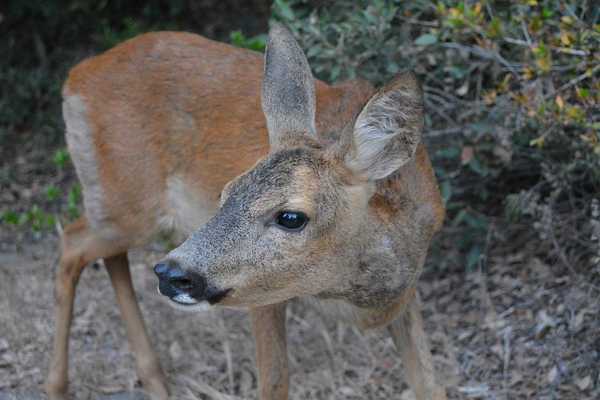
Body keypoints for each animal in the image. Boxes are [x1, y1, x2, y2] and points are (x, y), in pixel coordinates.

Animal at [47, 24, 448, 400]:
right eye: (227, 192)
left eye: (291, 217)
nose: (172, 274)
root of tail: (77, 75)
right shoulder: (263, 293)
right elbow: (275, 383)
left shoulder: (408, 294)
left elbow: (430, 384)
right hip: (128, 207)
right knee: (71, 244)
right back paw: (58, 387)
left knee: (103, 253)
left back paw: (155, 379)